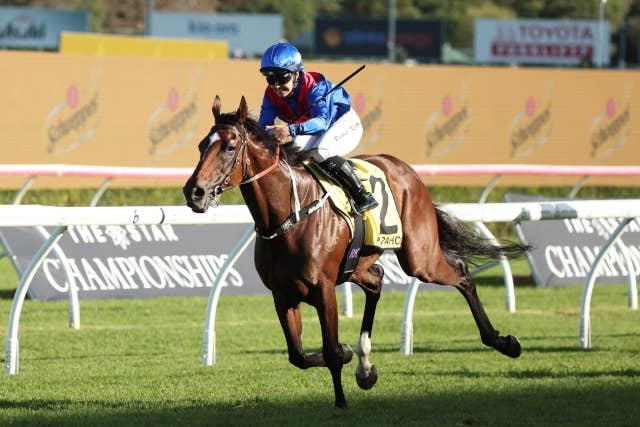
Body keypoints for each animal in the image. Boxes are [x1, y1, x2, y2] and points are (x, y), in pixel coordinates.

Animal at [183, 96, 529, 408]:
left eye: (229, 147)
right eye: (201, 145)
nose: (194, 192)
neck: (288, 216)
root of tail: (404, 167)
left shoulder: (323, 289)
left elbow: (331, 350)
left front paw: (340, 399)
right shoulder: (282, 294)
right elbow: (299, 356)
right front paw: (353, 357)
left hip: (420, 258)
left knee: (461, 273)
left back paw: (504, 342)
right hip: (359, 264)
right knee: (376, 281)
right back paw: (365, 366)